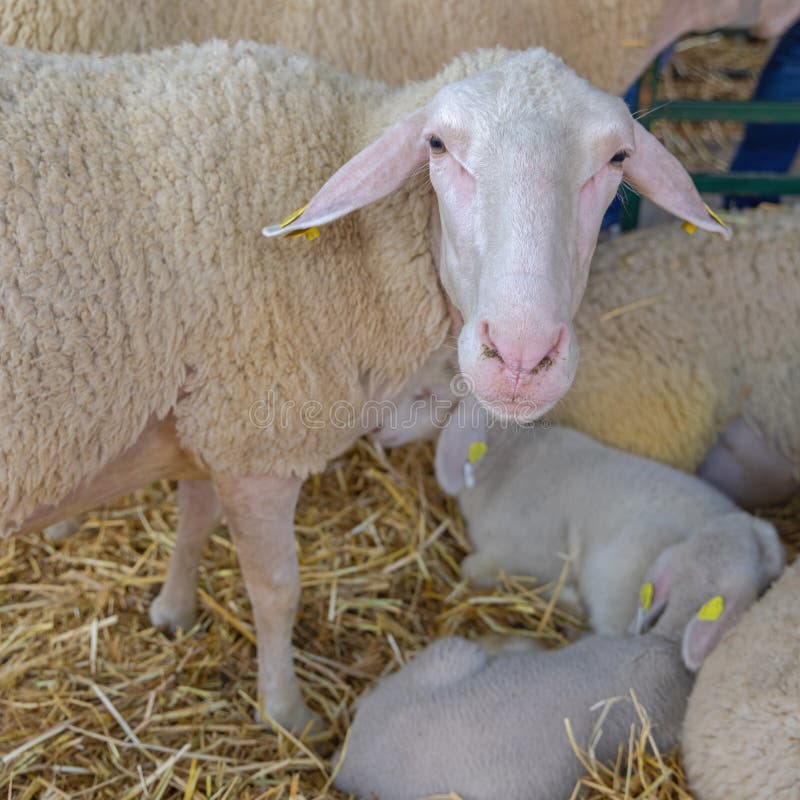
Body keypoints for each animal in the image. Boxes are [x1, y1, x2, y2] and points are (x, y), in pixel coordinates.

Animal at [0, 40, 721, 731]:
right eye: (437, 146)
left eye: (618, 157)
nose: (521, 355)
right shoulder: (264, 436)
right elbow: (277, 591)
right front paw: (286, 712)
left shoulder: (216, 419)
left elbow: (196, 518)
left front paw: (174, 609)